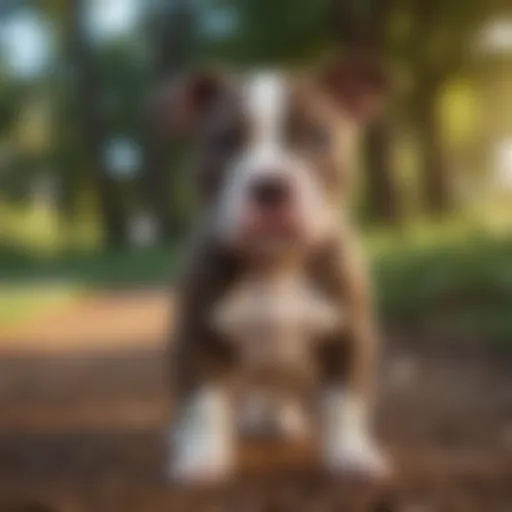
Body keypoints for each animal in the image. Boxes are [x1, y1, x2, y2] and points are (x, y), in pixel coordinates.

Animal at [156, 56, 388, 484]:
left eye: (318, 137)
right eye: (224, 142)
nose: (270, 185)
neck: (276, 263)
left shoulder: (349, 338)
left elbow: (344, 402)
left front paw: (352, 454)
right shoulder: (197, 338)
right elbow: (203, 403)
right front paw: (201, 456)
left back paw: (277, 419)